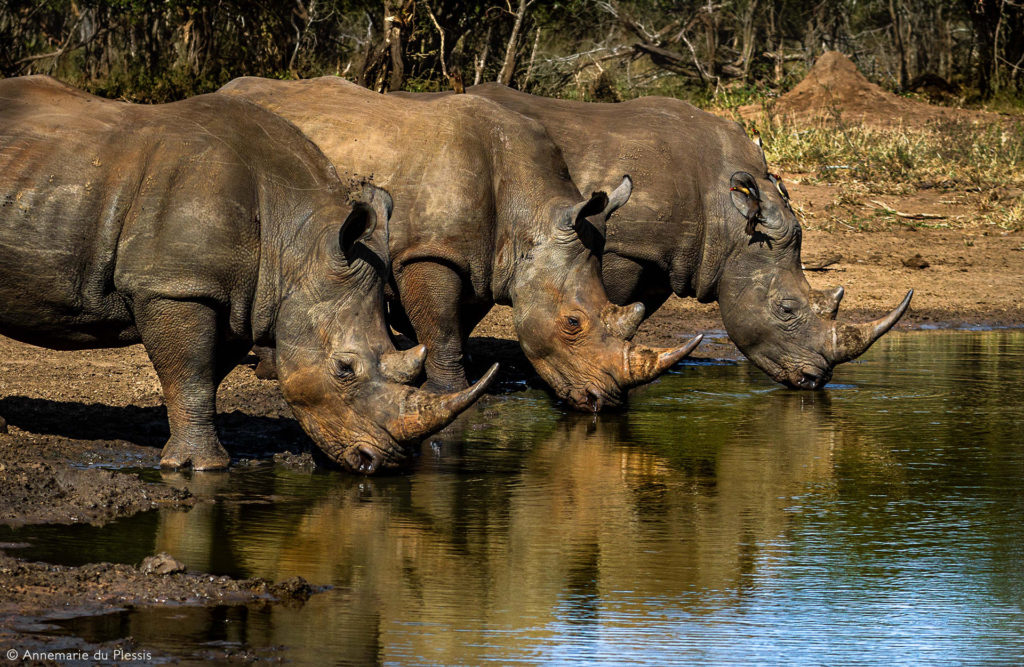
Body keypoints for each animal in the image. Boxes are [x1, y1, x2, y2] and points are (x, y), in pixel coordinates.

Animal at [0, 76, 494, 474]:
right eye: (344, 368)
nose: (382, 463)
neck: (294, 244)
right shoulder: (176, 287)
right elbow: (190, 374)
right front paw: (200, 468)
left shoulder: (239, 297)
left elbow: (206, 374)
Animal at [220, 77, 700, 411]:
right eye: (572, 323)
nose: (607, 403)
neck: (530, 209)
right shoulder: (429, 253)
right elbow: (443, 327)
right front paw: (452, 391)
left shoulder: (483, 259)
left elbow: (455, 322)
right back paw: (268, 369)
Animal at [425, 84, 912, 389]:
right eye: (786, 309)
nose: (816, 380)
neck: (730, 223)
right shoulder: (624, 248)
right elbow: (606, 304)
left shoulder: (667, 259)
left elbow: (630, 309)